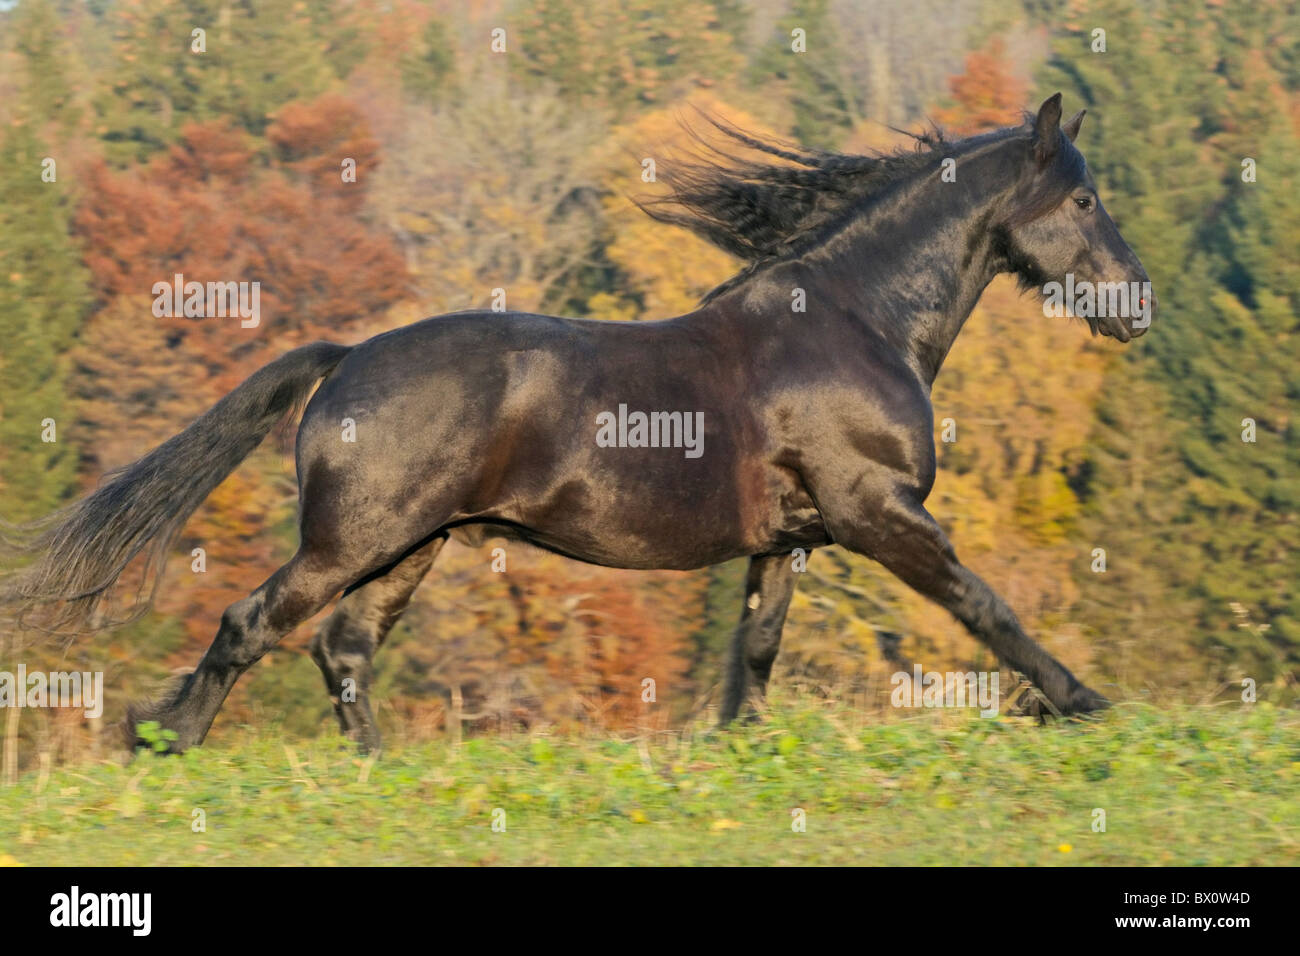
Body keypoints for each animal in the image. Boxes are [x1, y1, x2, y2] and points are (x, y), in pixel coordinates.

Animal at [0, 94, 1155, 753]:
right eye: (1084, 199)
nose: (1135, 304)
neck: (854, 320)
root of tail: (344, 363)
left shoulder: (790, 537)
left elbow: (758, 650)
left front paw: (734, 752)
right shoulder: (878, 512)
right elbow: (983, 605)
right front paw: (1084, 701)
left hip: (411, 546)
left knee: (344, 648)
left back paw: (375, 767)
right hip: (356, 540)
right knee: (255, 623)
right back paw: (165, 739)